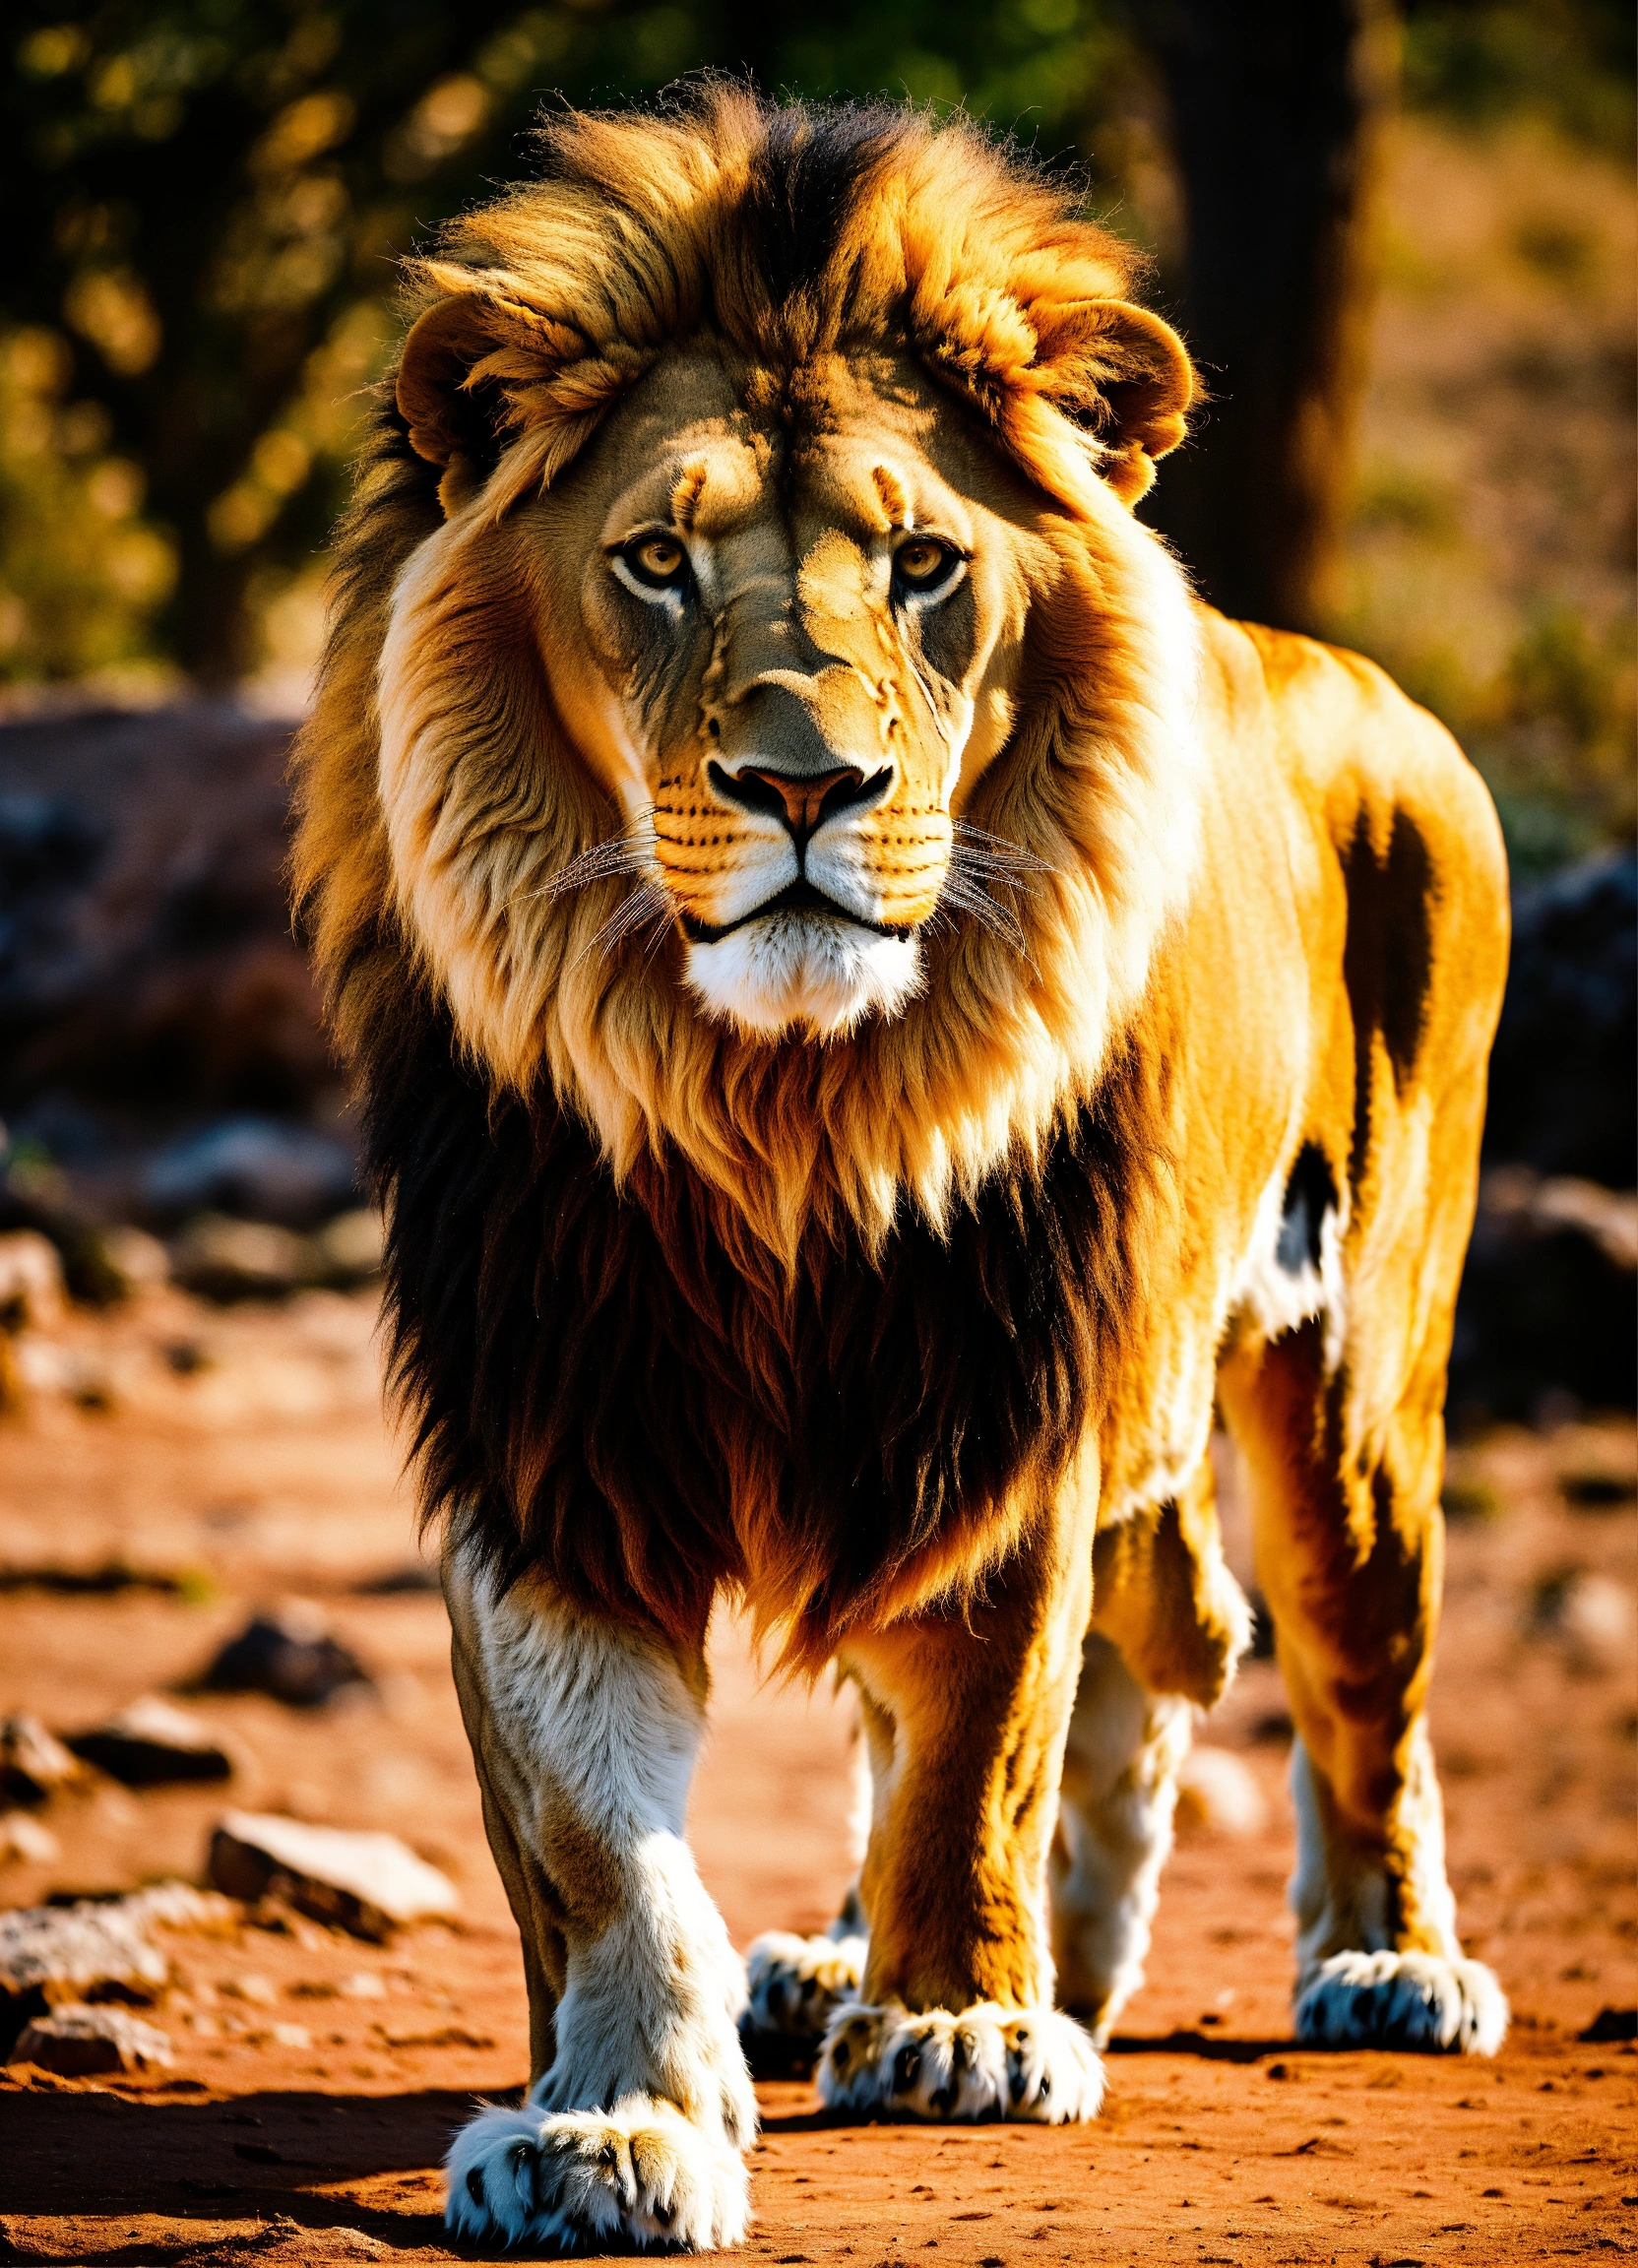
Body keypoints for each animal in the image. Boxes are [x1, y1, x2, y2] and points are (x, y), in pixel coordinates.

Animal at [292, 87, 1511, 2252]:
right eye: (657, 560)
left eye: (928, 565)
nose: (803, 784)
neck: (778, 1113)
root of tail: (1341, 669)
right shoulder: (545, 1430)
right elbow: (593, 1832)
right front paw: (615, 2118)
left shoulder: (1002, 1395)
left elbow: (982, 1735)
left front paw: (962, 2027)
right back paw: (858, 1963)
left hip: (1356, 1373)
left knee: (1353, 1678)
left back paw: (1379, 1958)